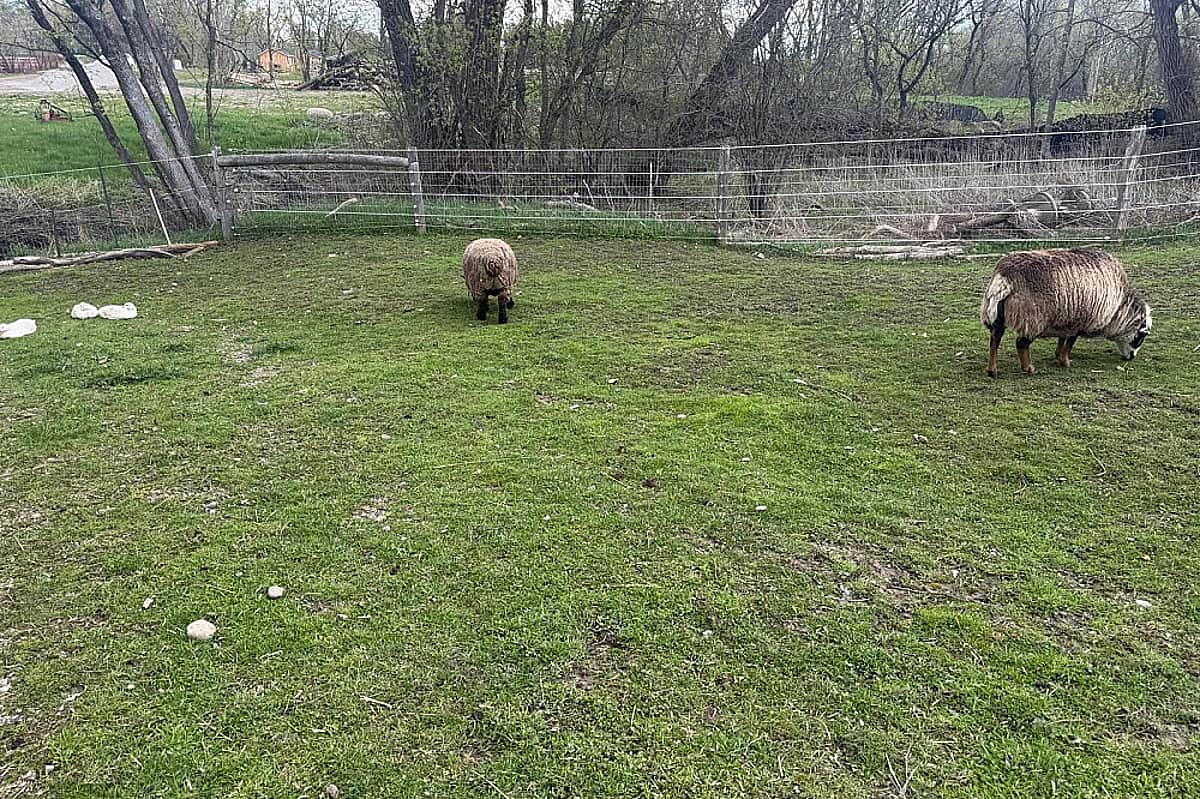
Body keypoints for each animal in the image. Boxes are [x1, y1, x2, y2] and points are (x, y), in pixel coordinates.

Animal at [980, 248, 1151, 377]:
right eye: (1140, 337)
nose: (1131, 358)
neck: (1118, 309)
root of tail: (1004, 278)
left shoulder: (1067, 317)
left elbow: (1062, 338)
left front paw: (1058, 354)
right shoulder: (1081, 320)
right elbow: (1070, 341)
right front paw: (1065, 361)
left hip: (999, 315)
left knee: (994, 339)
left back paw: (992, 370)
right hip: (1032, 319)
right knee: (1021, 343)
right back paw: (1028, 368)